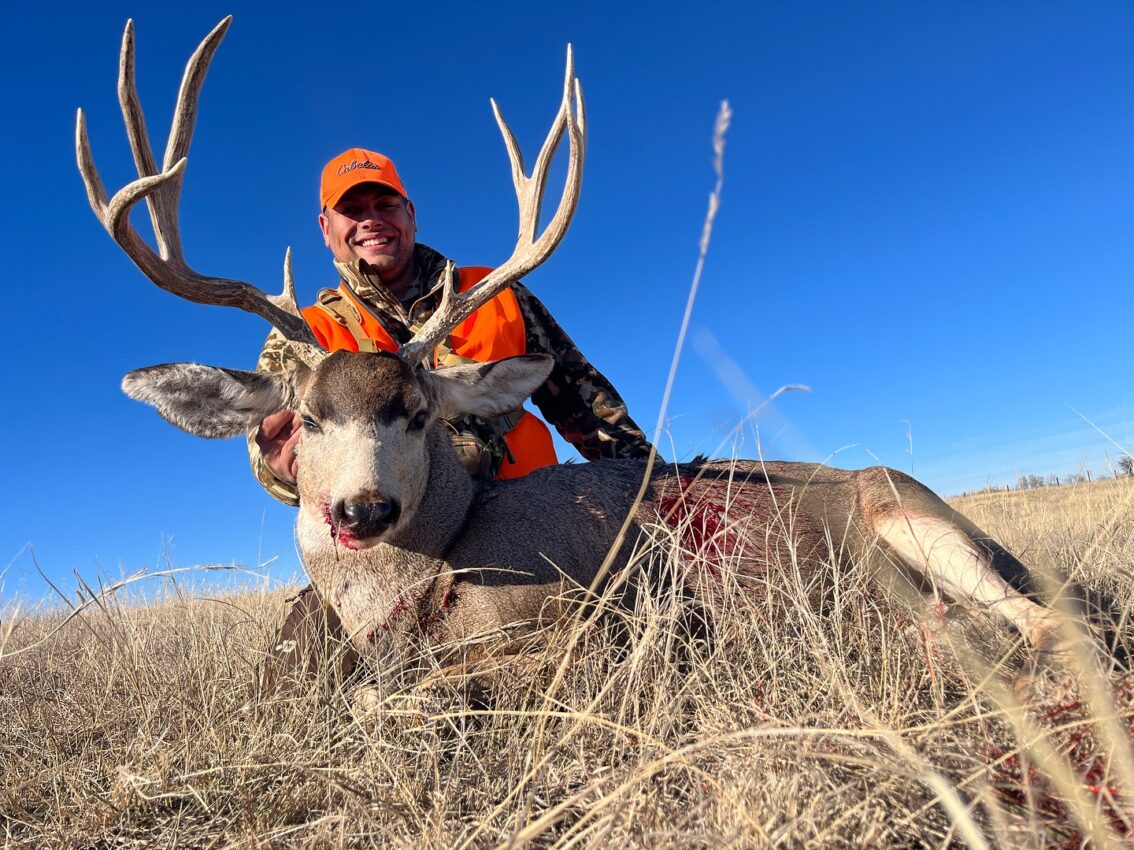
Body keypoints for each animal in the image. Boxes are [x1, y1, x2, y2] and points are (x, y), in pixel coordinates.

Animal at [80, 18, 1086, 700]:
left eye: (417, 412)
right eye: (310, 420)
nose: (363, 510)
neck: (431, 576)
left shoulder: (592, 615)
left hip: (914, 517)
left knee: (1047, 626)